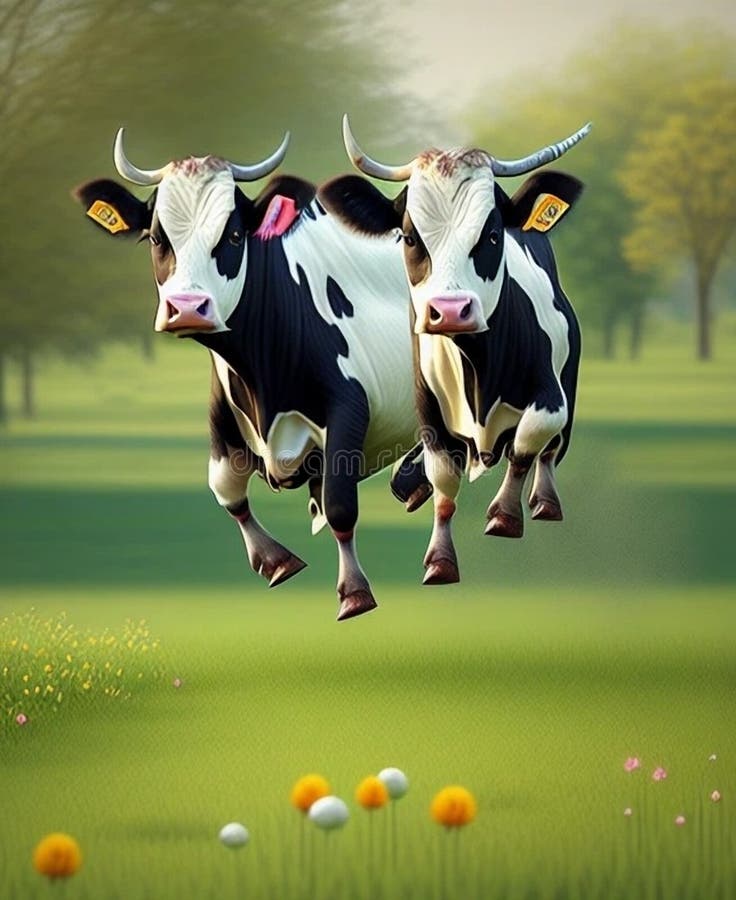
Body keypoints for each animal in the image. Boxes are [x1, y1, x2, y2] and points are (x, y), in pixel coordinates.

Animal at [74, 130, 432, 621]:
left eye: (233, 234)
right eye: (156, 237)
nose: (188, 307)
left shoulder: (349, 403)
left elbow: (340, 502)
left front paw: (354, 591)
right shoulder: (223, 411)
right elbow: (225, 490)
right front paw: (275, 560)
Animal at [320, 116, 590, 585]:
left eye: (493, 234)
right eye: (410, 237)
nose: (450, 311)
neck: (476, 368)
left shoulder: (551, 398)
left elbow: (528, 442)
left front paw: (505, 514)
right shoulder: (428, 414)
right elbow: (444, 485)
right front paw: (440, 558)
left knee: (550, 452)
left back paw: (544, 500)